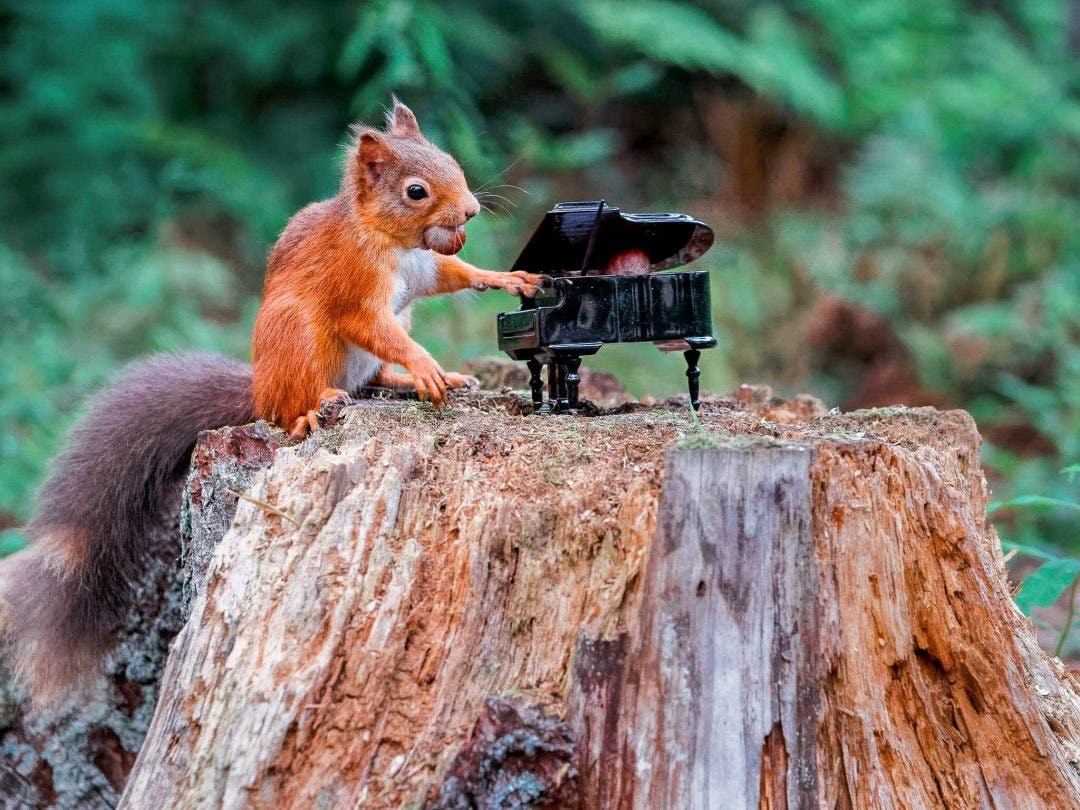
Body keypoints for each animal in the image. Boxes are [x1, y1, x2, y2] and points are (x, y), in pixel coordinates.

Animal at [1, 99, 540, 702]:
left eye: (451, 161)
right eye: (416, 192)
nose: (470, 211)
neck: (396, 242)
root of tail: (259, 390)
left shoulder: (425, 271)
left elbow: (452, 274)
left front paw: (505, 278)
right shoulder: (354, 286)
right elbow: (372, 325)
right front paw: (423, 364)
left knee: (372, 378)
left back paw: (416, 381)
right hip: (296, 339)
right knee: (294, 405)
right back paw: (316, 407)